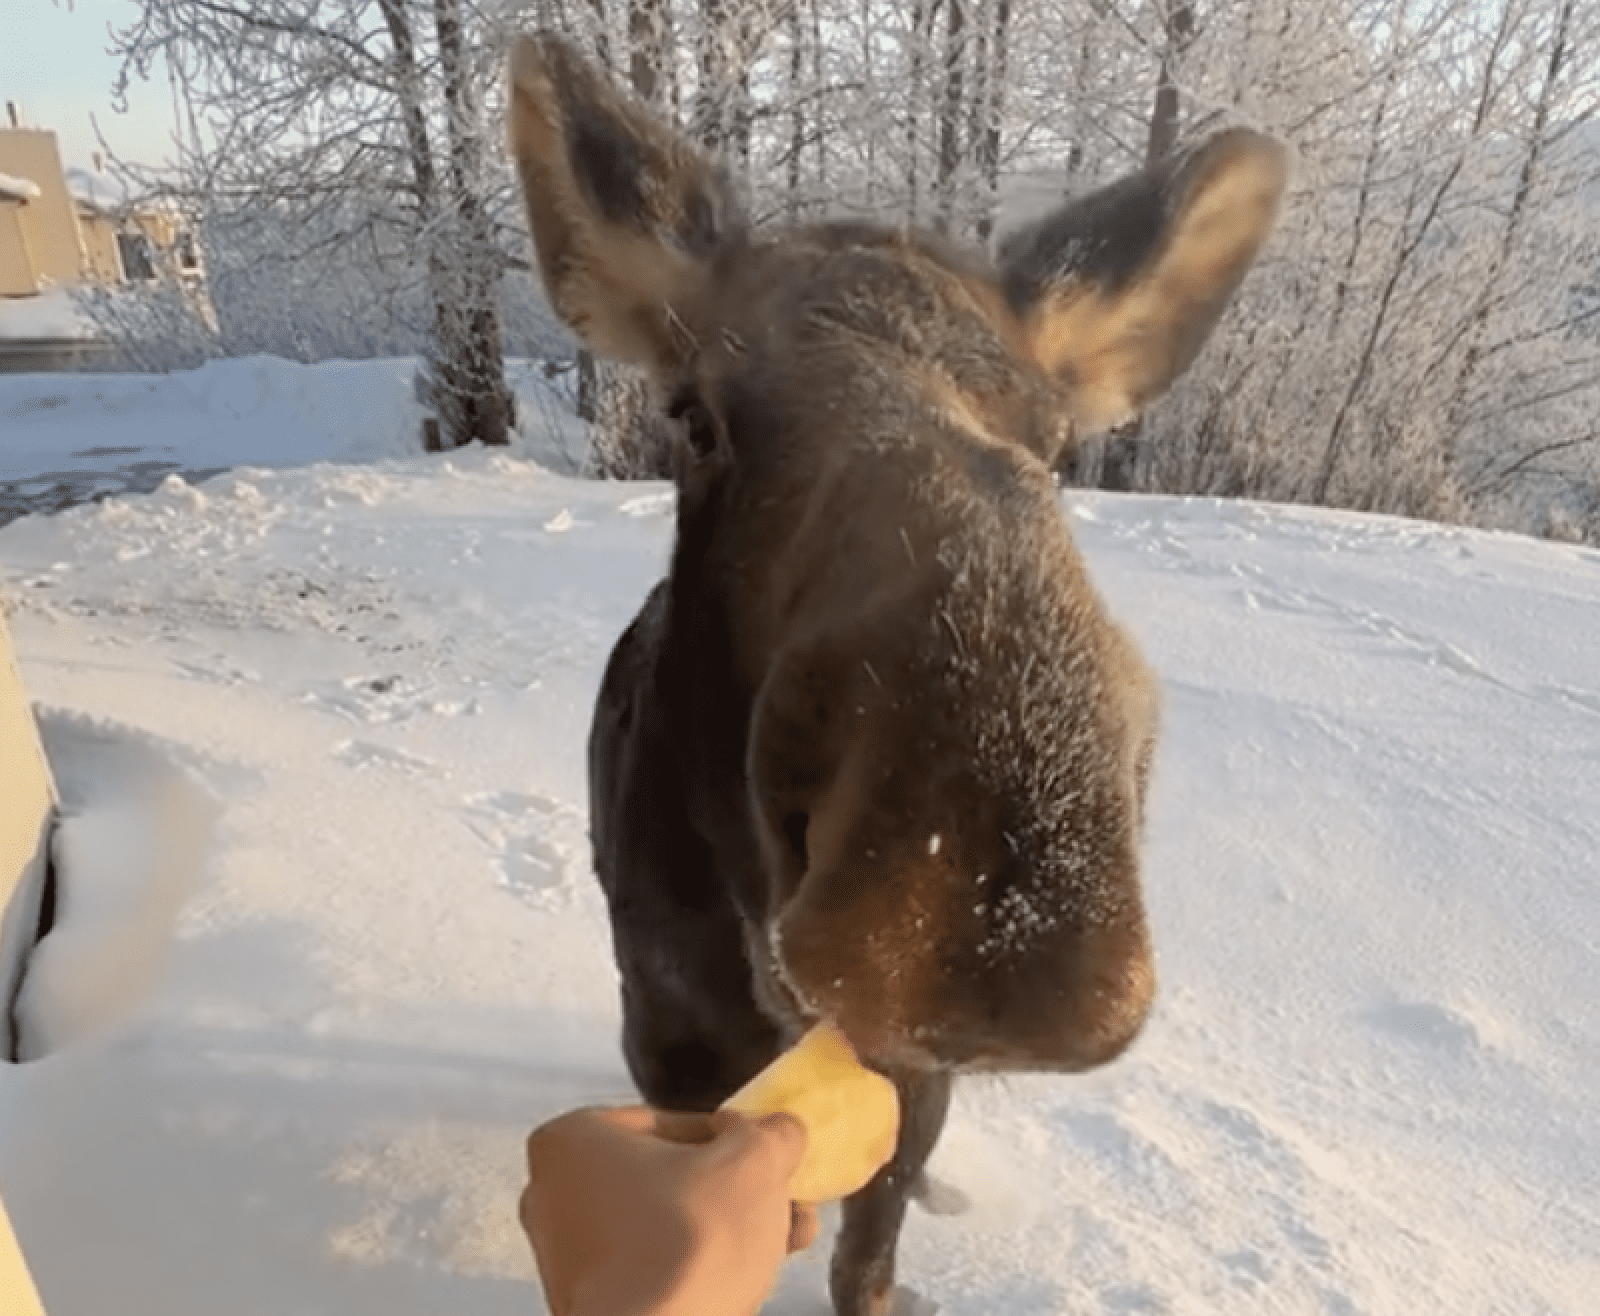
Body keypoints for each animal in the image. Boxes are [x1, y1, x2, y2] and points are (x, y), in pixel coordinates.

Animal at [508, 32, 1286, 1316]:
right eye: (695, 417)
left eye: (1057, 437)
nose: (973, 897)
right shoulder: (665, 1030)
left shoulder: (903, 1071)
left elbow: (865, 1253)